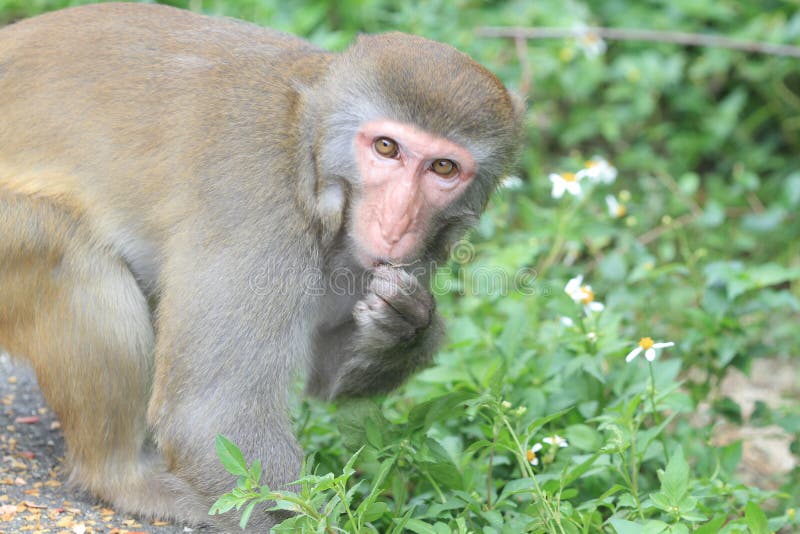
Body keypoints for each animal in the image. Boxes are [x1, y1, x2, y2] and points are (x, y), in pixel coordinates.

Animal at [0, 2, 523, 530]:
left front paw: (405, 325)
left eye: (443, 168)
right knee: (63, 248)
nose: (397, 223)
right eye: (386, 148)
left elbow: (325, 379)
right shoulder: (260, 208)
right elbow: (210, 413)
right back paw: (124, 478)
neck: (309, 151)